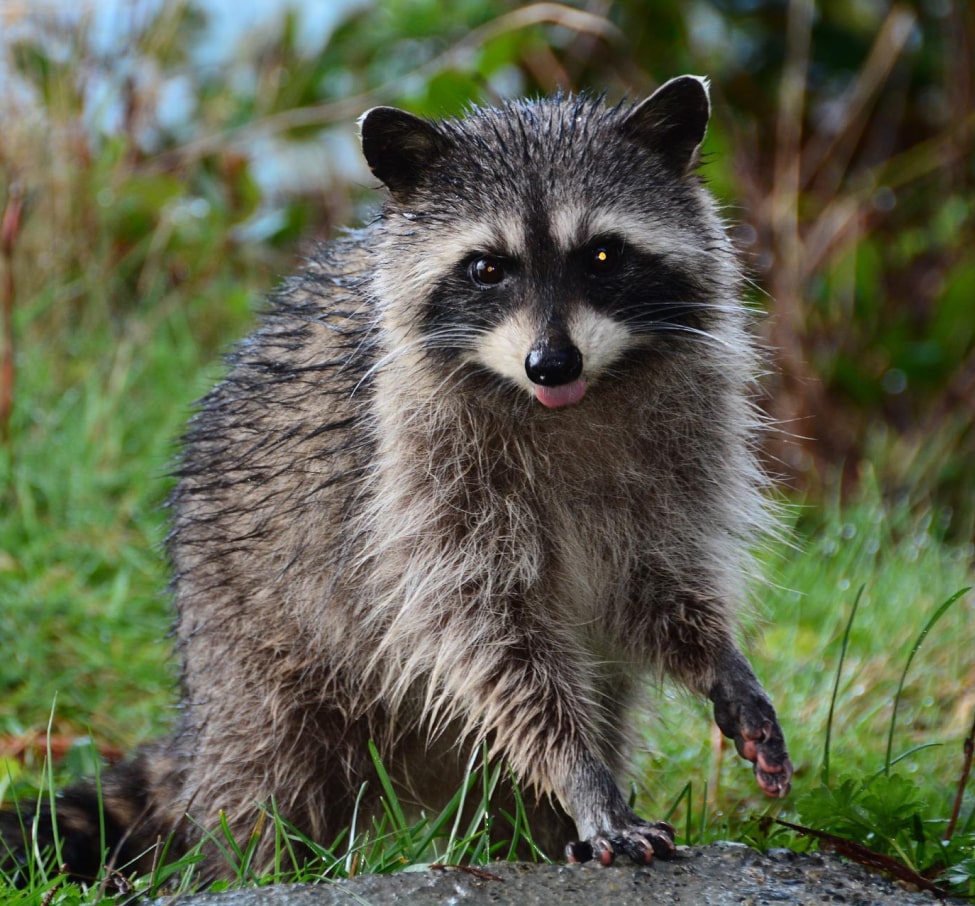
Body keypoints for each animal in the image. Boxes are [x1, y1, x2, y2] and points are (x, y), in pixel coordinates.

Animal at [1, 75, 792, 882]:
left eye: (603, 254)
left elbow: (657, 583)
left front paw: (716, 659)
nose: (551, 364)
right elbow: (489, 638)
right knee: (266, 780)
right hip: (252, 644)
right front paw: (581, 777)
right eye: (486, 267)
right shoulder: (415, 478)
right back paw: (251, 860)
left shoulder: (681, 447)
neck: (568, 403)